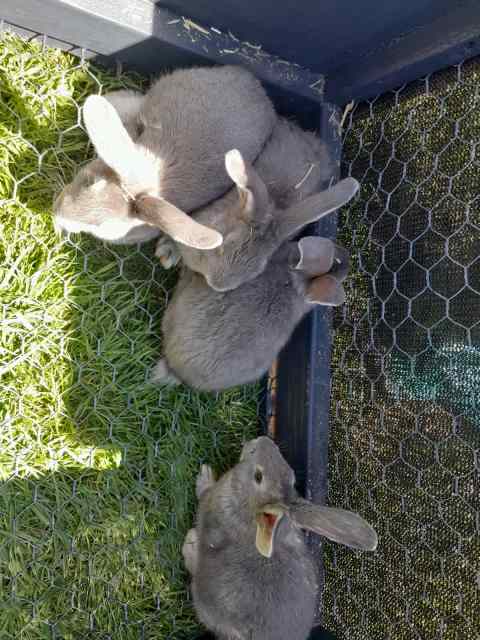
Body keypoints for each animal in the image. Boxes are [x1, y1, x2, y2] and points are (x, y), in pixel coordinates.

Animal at [183, 436, 378, 640]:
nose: (262, 440)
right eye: (292, 476)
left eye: (258, 476)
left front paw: (204, 475)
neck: (247, 506)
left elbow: (203, 494)